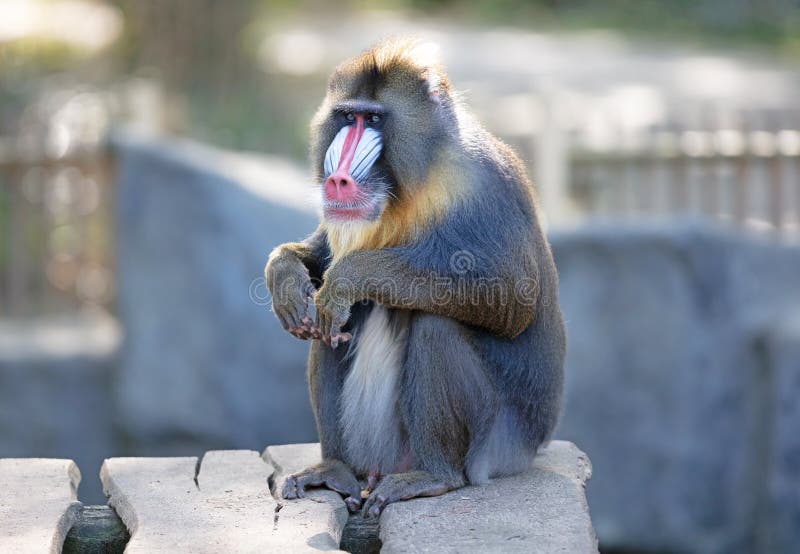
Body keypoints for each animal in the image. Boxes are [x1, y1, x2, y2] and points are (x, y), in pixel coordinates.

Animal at [264, 37, 565, 518]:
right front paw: (286, 275)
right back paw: (334, 470)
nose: (338, 179)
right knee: (327, 327)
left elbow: (511, 297)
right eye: (348, 117)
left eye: (374, 120)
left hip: (496, 448)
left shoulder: (484, 184)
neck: (411, 187)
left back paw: (434, 476)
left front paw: (348, 277)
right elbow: (320, 260)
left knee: (434, 325)